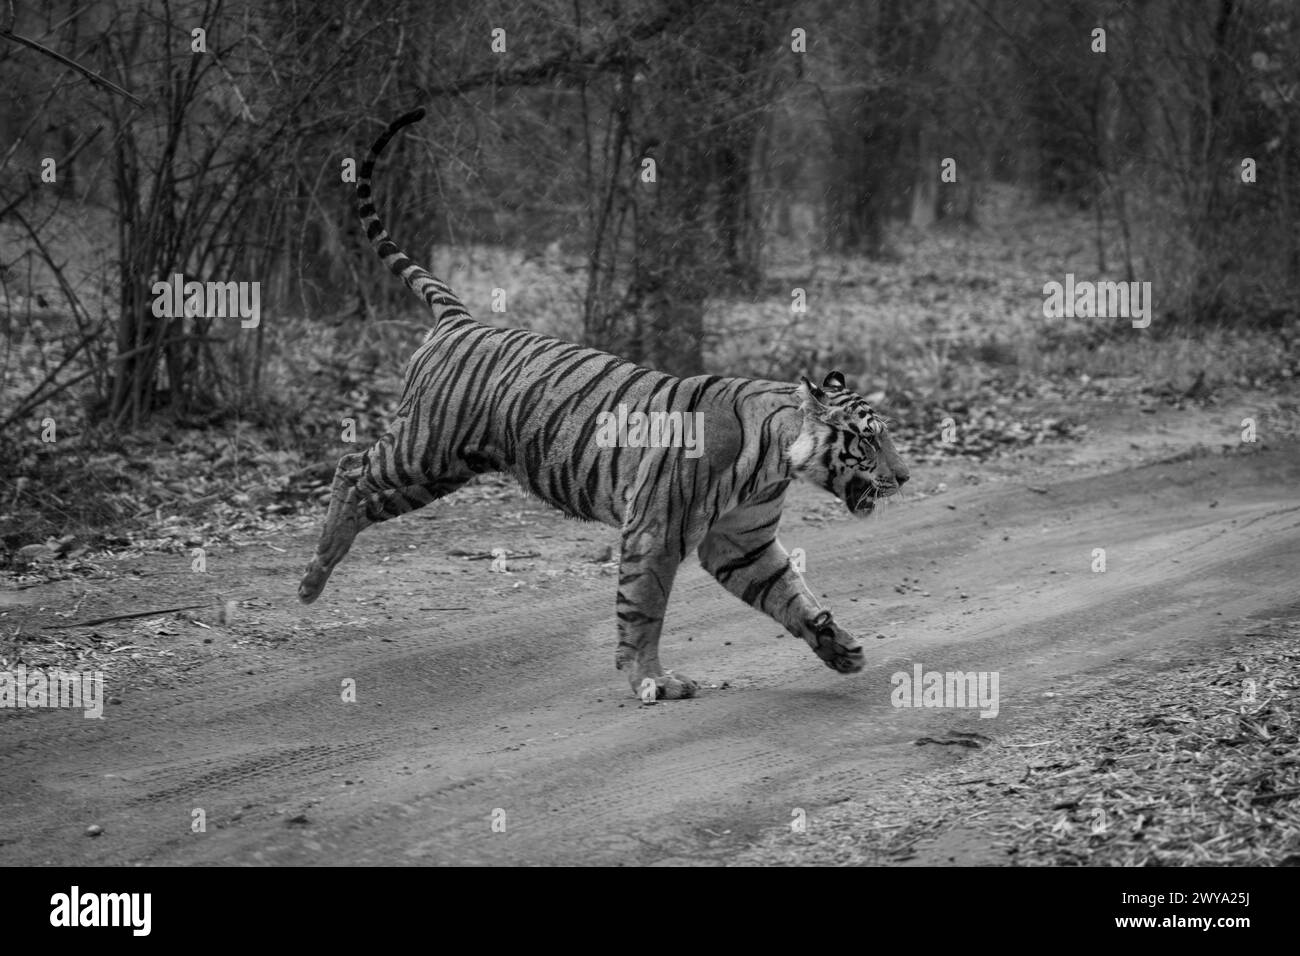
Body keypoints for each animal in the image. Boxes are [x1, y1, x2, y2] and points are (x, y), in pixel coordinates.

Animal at [298, 108, 911, 700]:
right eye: (867, 438)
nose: (905, 476)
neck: (776, 461)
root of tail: (461, 319)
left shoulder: (742, 542)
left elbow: (790, 596)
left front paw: (840, 648)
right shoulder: (655, 531)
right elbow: (644, 611)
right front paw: (653, 680)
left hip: (439, 467)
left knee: (362, 487)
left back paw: (315, 574)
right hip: (425, 450)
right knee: (350, 467)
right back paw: (313, 574)